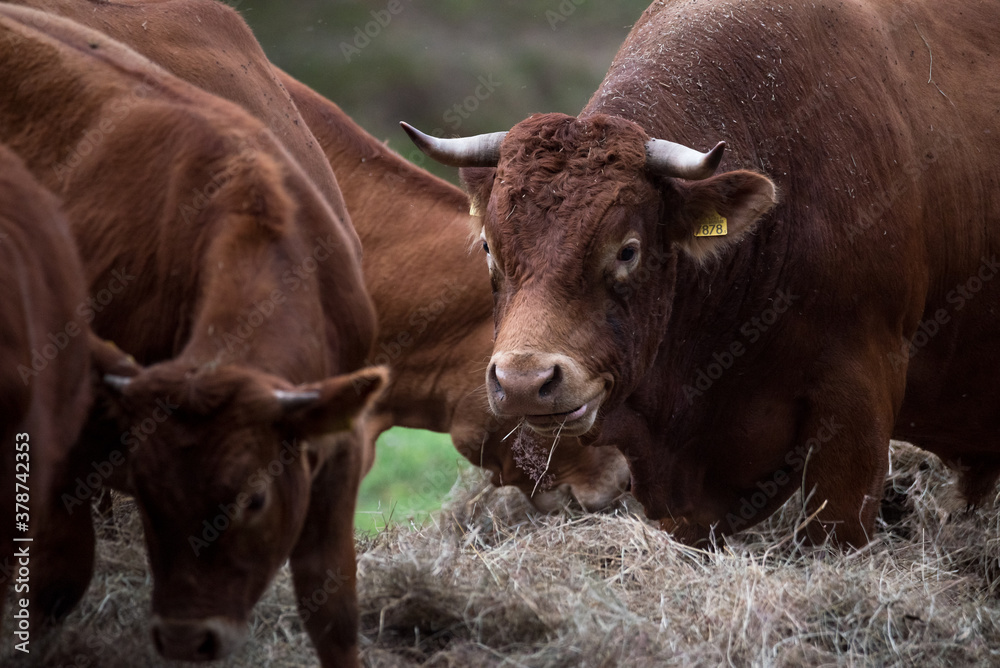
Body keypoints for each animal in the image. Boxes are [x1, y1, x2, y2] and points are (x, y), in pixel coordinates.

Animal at [0, 6, 383, 666]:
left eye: (254, 498)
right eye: (148, 494)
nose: (186, 636)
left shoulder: (337, 445)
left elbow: (332, 609)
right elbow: (57, 580)